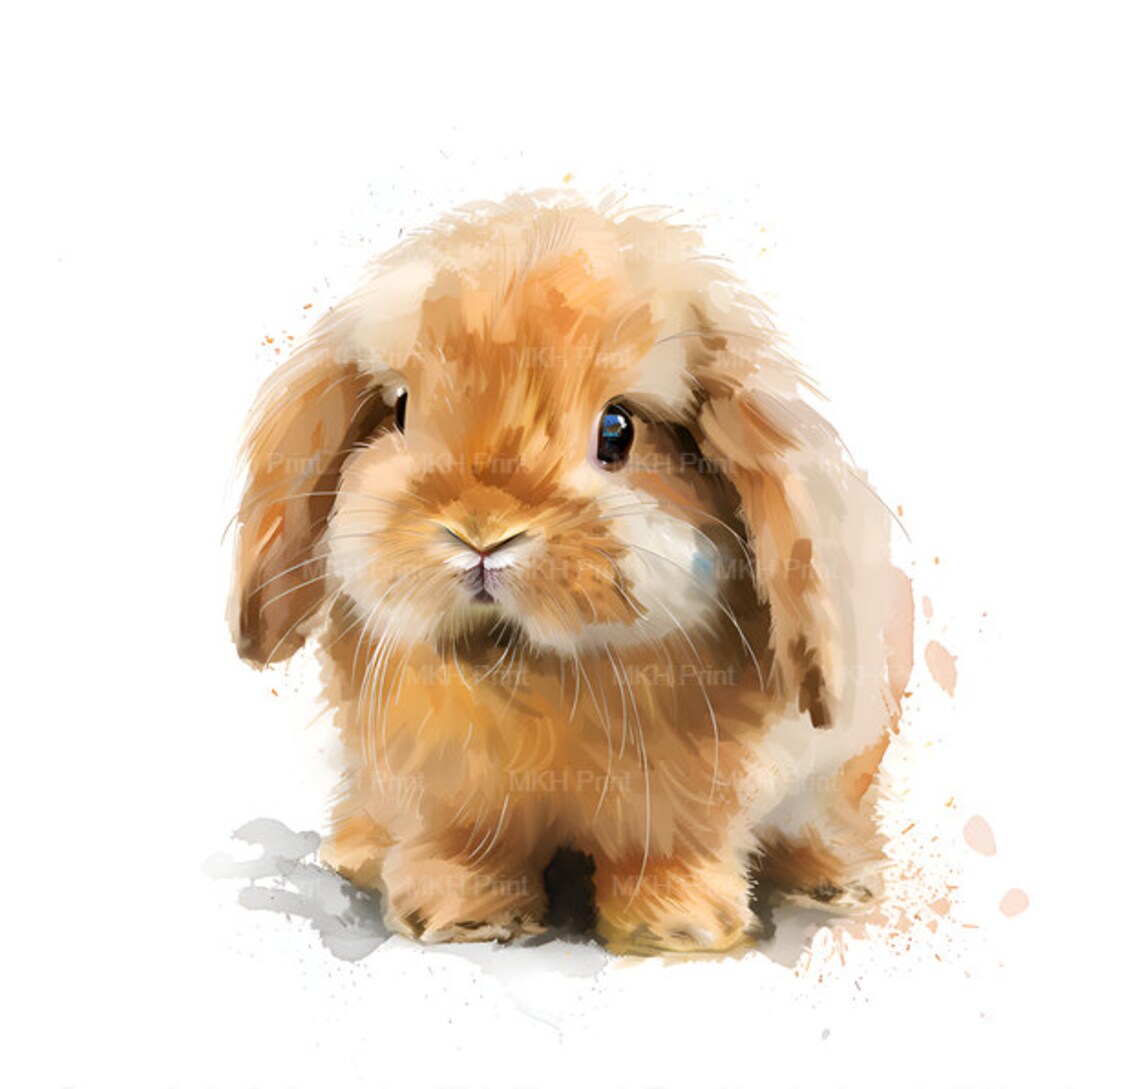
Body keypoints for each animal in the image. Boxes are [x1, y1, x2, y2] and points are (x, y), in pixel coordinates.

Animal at [228, 190, 914, 955]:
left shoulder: (687, 802)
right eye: (401, 410)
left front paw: (676, 926)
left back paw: (836, 881)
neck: (532, 669)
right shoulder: (444, 796)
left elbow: (669, 851)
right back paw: (355, 851)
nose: (481, 531)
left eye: (617, 430)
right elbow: (461, 848)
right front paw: (464, 916)